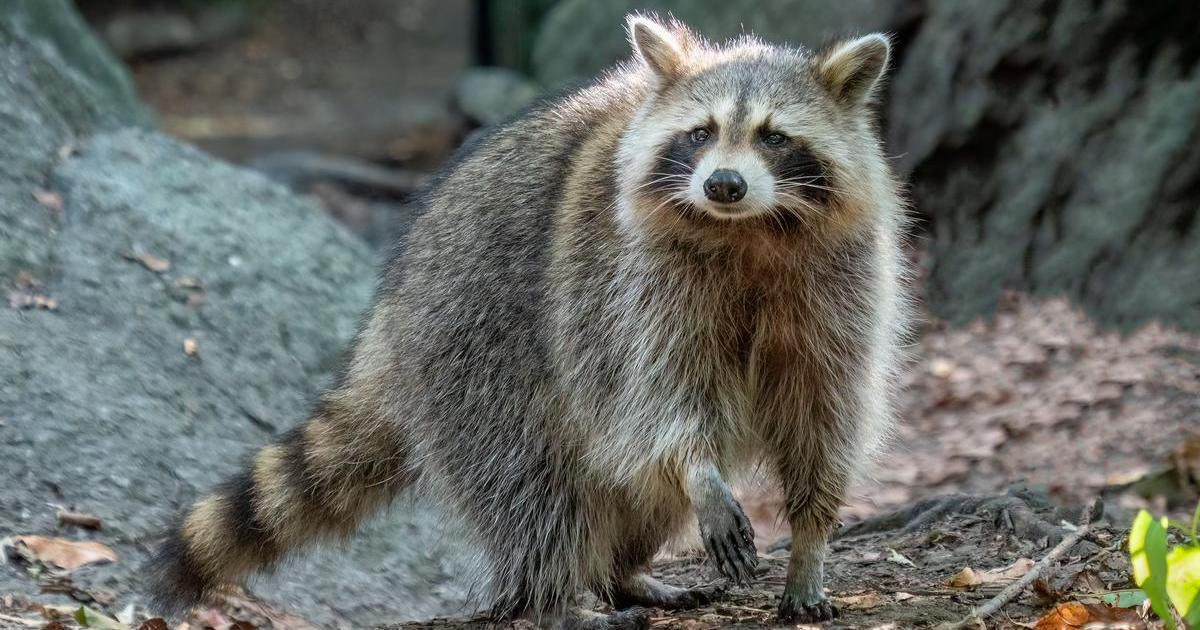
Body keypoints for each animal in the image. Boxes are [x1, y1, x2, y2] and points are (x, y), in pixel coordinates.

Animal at [152, 14, 910, 629]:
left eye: (774, 137)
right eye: (700, 134)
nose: (723, 184)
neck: (749, 229)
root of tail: (388, 322)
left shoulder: (841, 284)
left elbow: (824, 410)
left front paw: (810, 541)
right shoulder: (629, 285)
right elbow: (659, 396)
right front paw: (700, 471)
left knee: (631, 489)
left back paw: (624, 571)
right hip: (474, 344)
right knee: (532, 480)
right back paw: (553, 595)